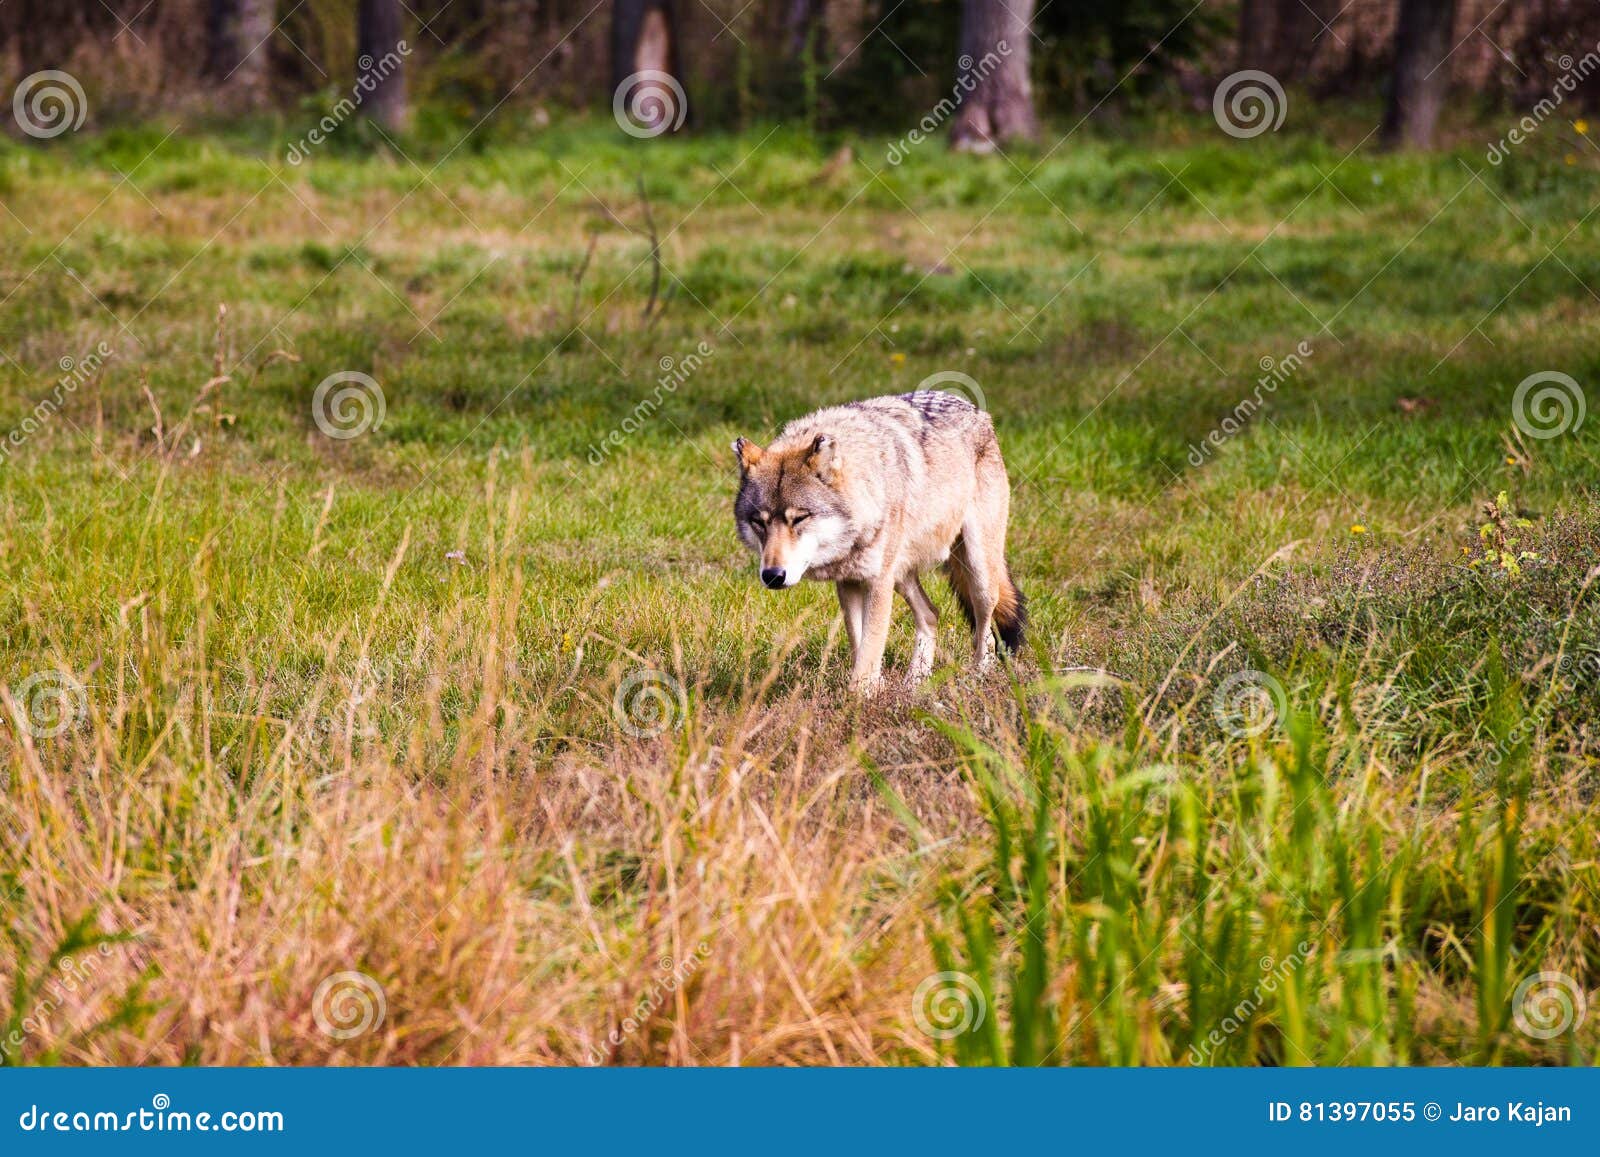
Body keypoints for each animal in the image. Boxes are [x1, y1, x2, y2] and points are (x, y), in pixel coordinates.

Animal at [732, 391, 1026, 691]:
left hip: (977, 572)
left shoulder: (878, 583)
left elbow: (869, 650)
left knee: (986, 628)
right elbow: (860, 644)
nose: (772, 576)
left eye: (799, 518)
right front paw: (875, 688)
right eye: (759, 522)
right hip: (902, 575)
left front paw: (861, 697)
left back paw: (977, 677)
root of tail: (976, 410)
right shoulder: (849, 583)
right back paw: (914, 683)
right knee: (931, 614)